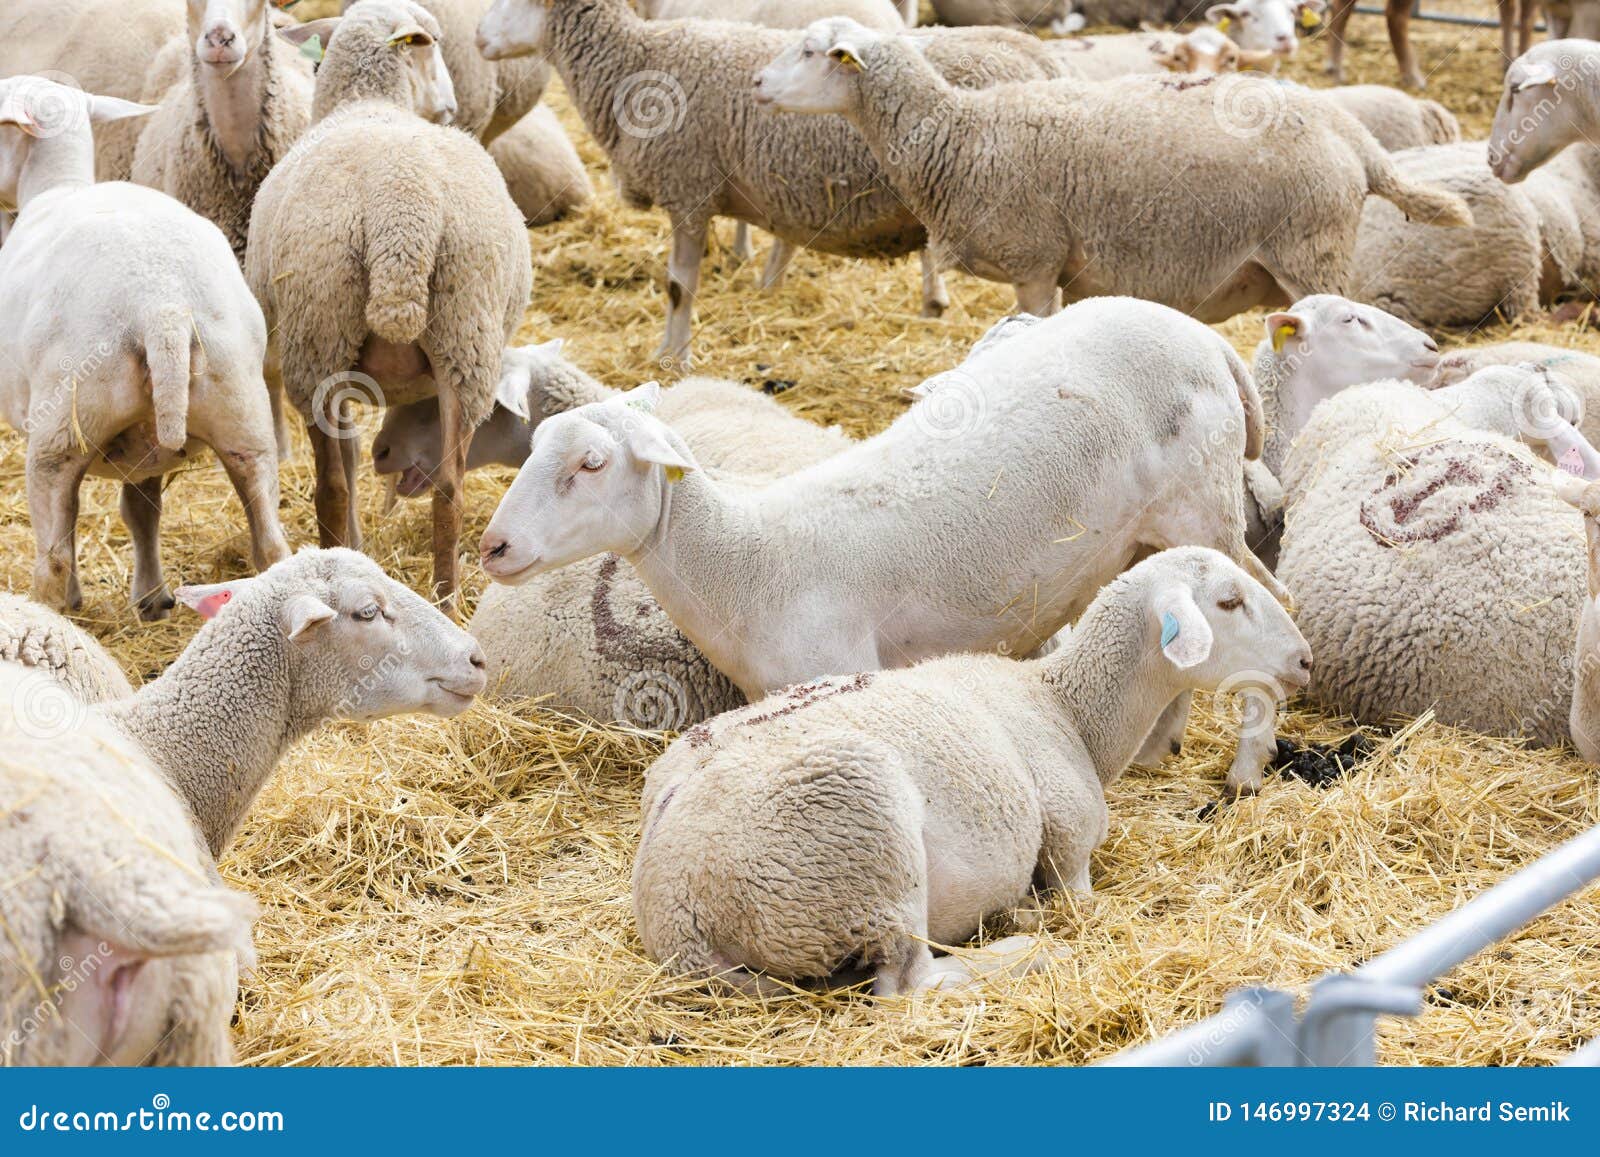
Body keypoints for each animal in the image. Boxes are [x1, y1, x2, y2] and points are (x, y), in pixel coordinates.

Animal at [0, 77, 292, 620]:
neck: (56, 186)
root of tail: (162, 304)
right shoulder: (146, 449)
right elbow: (141, 512)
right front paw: (153, 598)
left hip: (62, 427)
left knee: (53, 553)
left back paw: (54, 610)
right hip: (241, 413)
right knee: (271, 541)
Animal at [247, 0, 530, 610]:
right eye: (433, 48)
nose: (450, 106)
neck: (368, 101)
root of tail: (401, 207)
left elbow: (350, 460)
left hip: (320, 340)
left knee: (331, 487)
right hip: (463, 342)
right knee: (449, 492)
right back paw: (446, 601)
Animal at [475, 0, 1065, 363]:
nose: (478, 37)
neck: (634, 61)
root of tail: (1037, 56)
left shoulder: (689, 188)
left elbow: (679, 287)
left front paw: (671, 358)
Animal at [632, 547, 1312, 995]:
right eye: (1229, 602)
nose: (1304, 660)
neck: (1066, 707)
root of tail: (676, 919)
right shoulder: (1069, 846)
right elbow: (1082, 902)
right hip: (864, 840)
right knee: (906, 985)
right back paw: (1020, 949)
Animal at [753, 18, 1471, 321]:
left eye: (813, 52)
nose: (757, 82)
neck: (957, 131)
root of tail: (1352, 136)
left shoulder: (1035, 261)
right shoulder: (1065, 273)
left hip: (1309, 249)